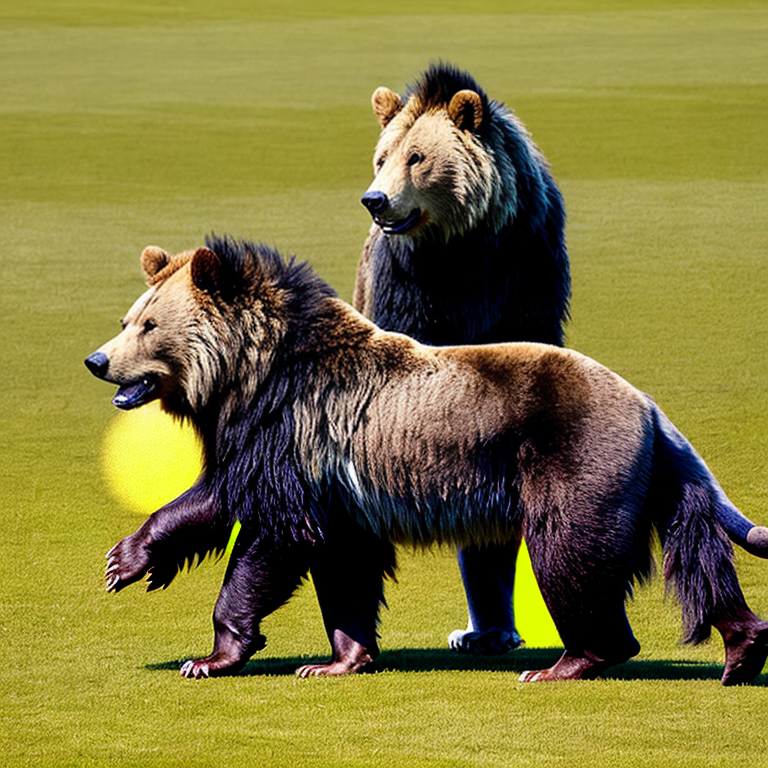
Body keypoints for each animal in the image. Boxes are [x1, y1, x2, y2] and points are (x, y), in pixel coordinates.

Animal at [85, 236, 768, 685]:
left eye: (148, 325)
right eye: (127, 318)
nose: (97, 359)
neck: (244, 377)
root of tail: (649, 407)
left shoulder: (291, 432)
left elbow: (266, 532)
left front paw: (206, 654)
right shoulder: (328, 481)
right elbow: (333, 559)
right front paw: (335, 659)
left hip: (573, 457)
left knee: (573, 554)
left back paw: (568, 662)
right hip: (654, 474)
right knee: (697, 550)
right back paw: (743, 648)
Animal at [320, 62, 573, 662]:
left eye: (418, 156)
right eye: (382, 156)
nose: (375, 200)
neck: (462, 248)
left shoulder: (523, 275)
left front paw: (494, 623)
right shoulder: (411, 291)